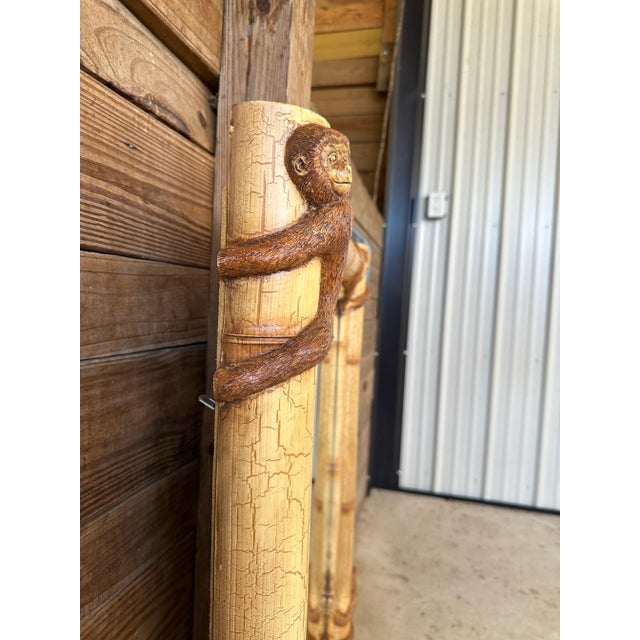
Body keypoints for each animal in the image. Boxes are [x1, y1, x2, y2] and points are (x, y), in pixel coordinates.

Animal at [212, 123, 354, 403]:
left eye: (345, 157)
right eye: (333, 158)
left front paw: (225, 261)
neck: (331, 200)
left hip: (315, 339)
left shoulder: (335, 216)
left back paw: (222, 383)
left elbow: (282, 251)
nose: (348, 169)